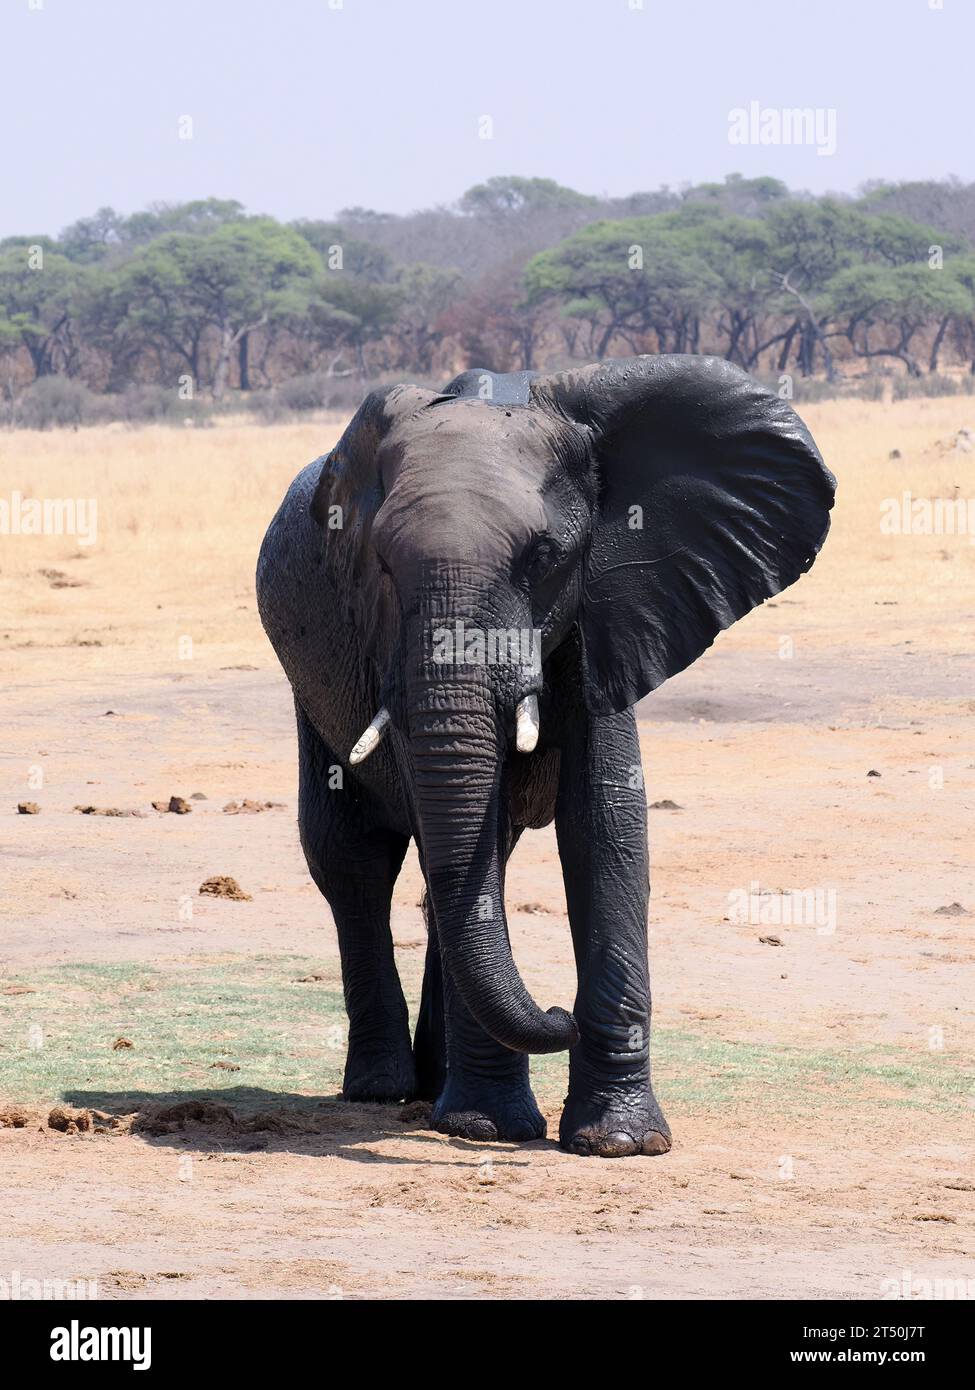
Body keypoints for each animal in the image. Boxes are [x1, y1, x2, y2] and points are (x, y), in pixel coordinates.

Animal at [256, 354, 835, 1157]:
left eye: (545, 558)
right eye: (381, 566)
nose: (558, 1015)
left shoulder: (616, 609)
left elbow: (607, 823)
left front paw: (621, 1142)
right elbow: (469, 826)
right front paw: (489, 1129)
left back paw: (433, 1089)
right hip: (310, 697)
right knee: (355, 859)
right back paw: (386, 1089)